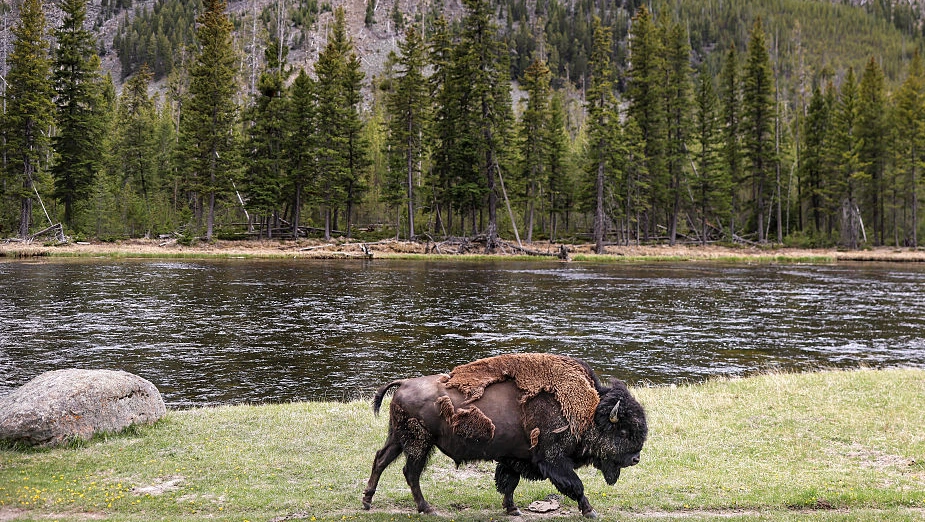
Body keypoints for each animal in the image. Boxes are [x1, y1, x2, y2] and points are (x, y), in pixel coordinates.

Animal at [361, 353, 648, 518]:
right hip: (419, 443)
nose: (635, 459)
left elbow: (509, 483)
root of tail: (404, 383)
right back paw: (426, 508)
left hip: (398, 438)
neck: (587, 410)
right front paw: (590, 511)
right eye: (623, 430)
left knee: (381, 460)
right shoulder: (553, 459)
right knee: (410, 472)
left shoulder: (514, 458)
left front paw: (513, 509)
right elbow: (575, 485)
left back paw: (367, 501)